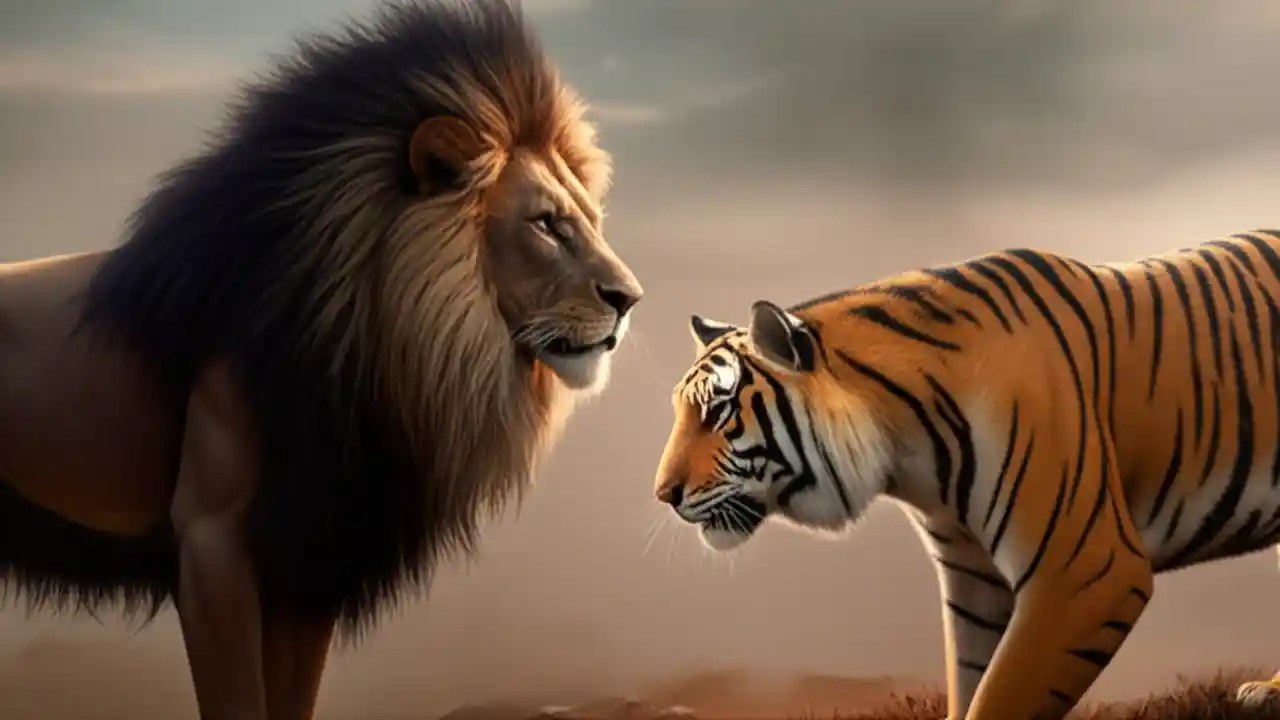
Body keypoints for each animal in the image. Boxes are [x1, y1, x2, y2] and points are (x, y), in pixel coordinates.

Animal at [0, 1, 642, 718]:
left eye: (589, 219)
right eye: (546, 224)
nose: (630, 299)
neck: (373, 345)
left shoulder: (310, 549)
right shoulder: (211, 539)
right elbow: (237, 699)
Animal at [651, 230, 1280, 719]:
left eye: (719, 410)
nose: (664, 494)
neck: (906, 454)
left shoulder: (1086, 571)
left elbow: (1002, 695)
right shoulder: (972, 577)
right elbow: (972, 680)